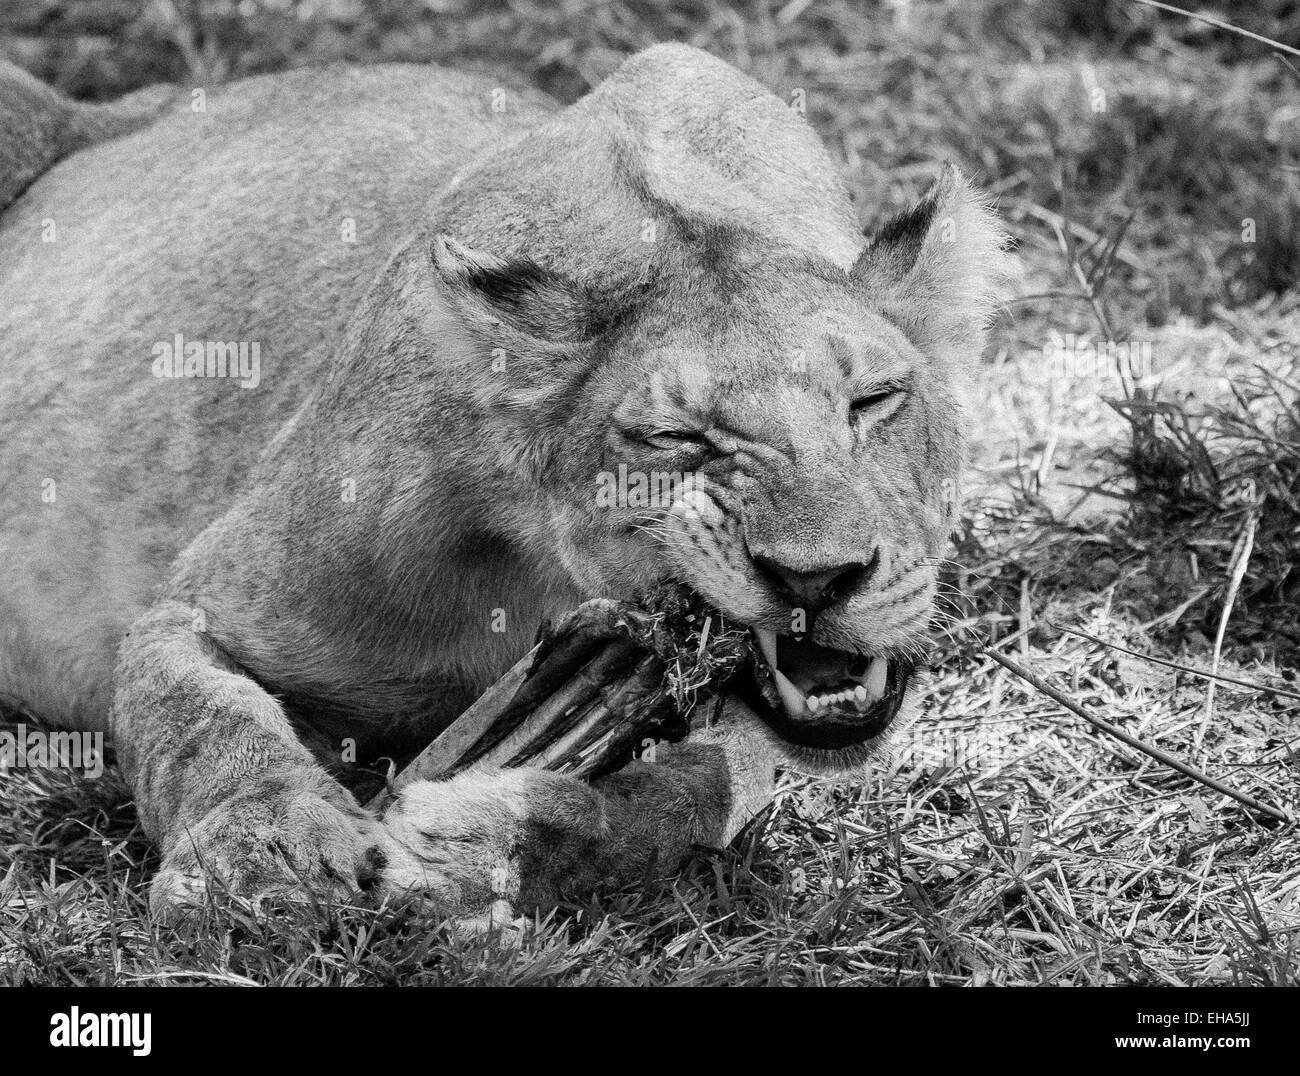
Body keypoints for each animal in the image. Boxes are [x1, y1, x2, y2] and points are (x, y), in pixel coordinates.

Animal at [0, 45, 1011, 926]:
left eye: (873, 401)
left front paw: (487, 840)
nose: (816, 576)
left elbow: (695, 792)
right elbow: (206, 717)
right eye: (676, 438)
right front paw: (262, 859)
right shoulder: (197, 606)